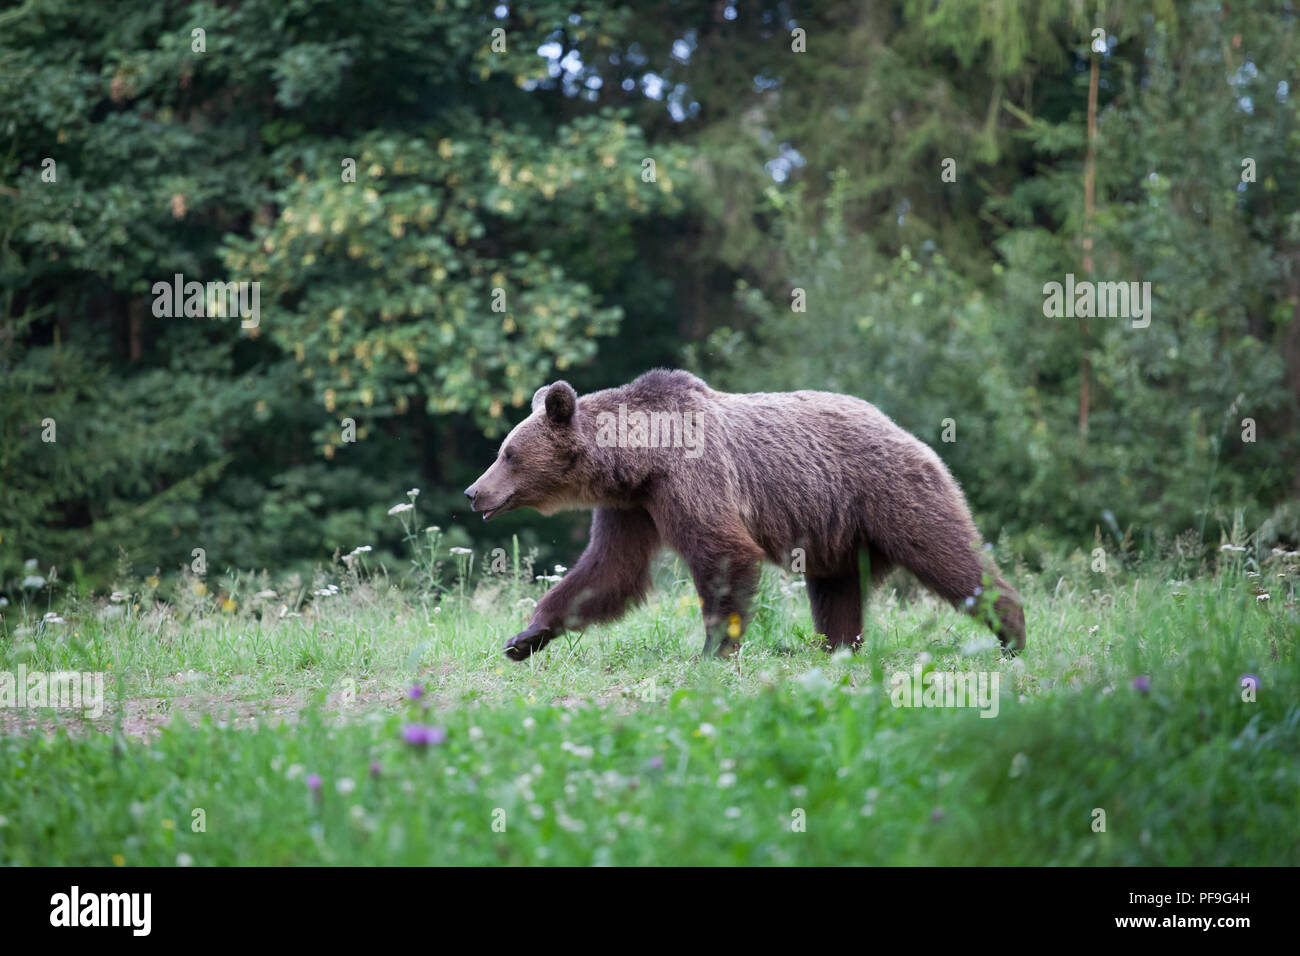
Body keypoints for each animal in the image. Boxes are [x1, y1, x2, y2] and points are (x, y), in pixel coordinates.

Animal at [464, 369, 1025, 661]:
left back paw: (1012, 632)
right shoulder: (632, 507)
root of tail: (907, 432)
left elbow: (722, 553)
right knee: (837, 590)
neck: (639, 461)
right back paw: (839, 647)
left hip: (890, 493)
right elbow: (608, 570)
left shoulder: (691, 480)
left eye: (507, 453)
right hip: (838, 531)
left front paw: (714, 648)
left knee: (947, 554)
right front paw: (525, 637)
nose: (474, 492)